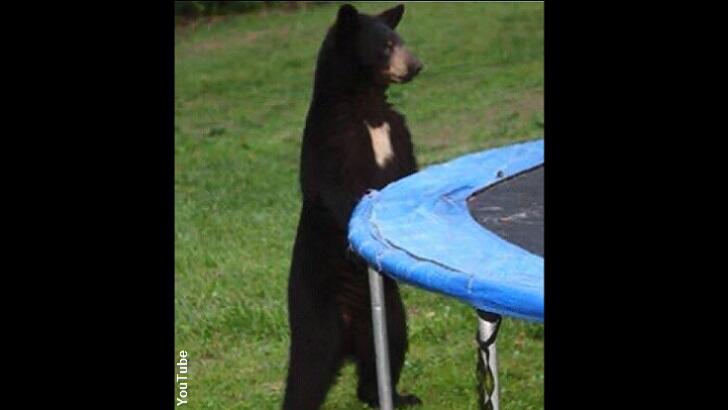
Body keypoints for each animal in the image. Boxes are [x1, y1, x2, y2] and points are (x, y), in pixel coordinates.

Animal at [283, 4, 423, 409]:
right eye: (386, 45)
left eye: (399, 39)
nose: (416, 65)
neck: (366, 106)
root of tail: (348, 338)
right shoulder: (332, 137)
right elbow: (334, 189)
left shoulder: (397, 132)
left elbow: (407, 174)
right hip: (315, 318)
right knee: (306, 375)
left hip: (389, 316)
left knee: (387, 353)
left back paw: (394, 395)